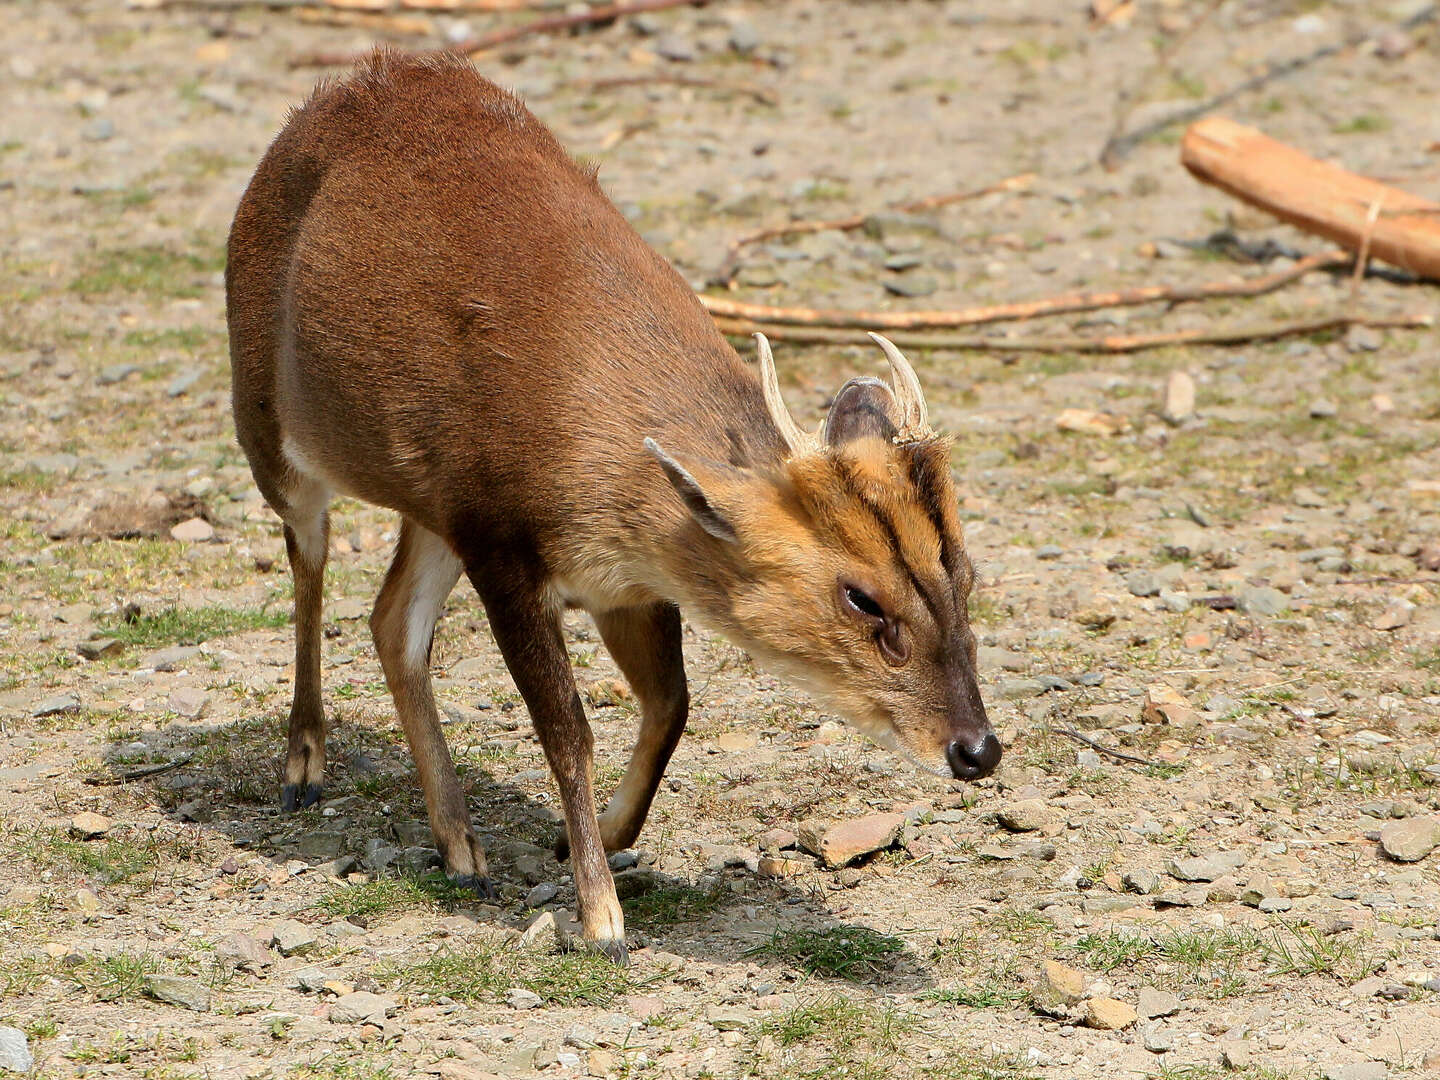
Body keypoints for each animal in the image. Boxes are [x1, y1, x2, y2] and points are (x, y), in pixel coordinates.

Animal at [226, 49, 1000, 963]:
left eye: (967, 572)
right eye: (861, 597)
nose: (977, 748)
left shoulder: (628, 577)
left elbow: (671, 703)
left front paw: (592, 843)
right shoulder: (502, 541)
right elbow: (569, 729)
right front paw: (601, 918)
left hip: (432, 503)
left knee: (390, 621)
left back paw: (460, 847)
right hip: (270, 425)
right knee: (310, 557)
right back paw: (303, 766)